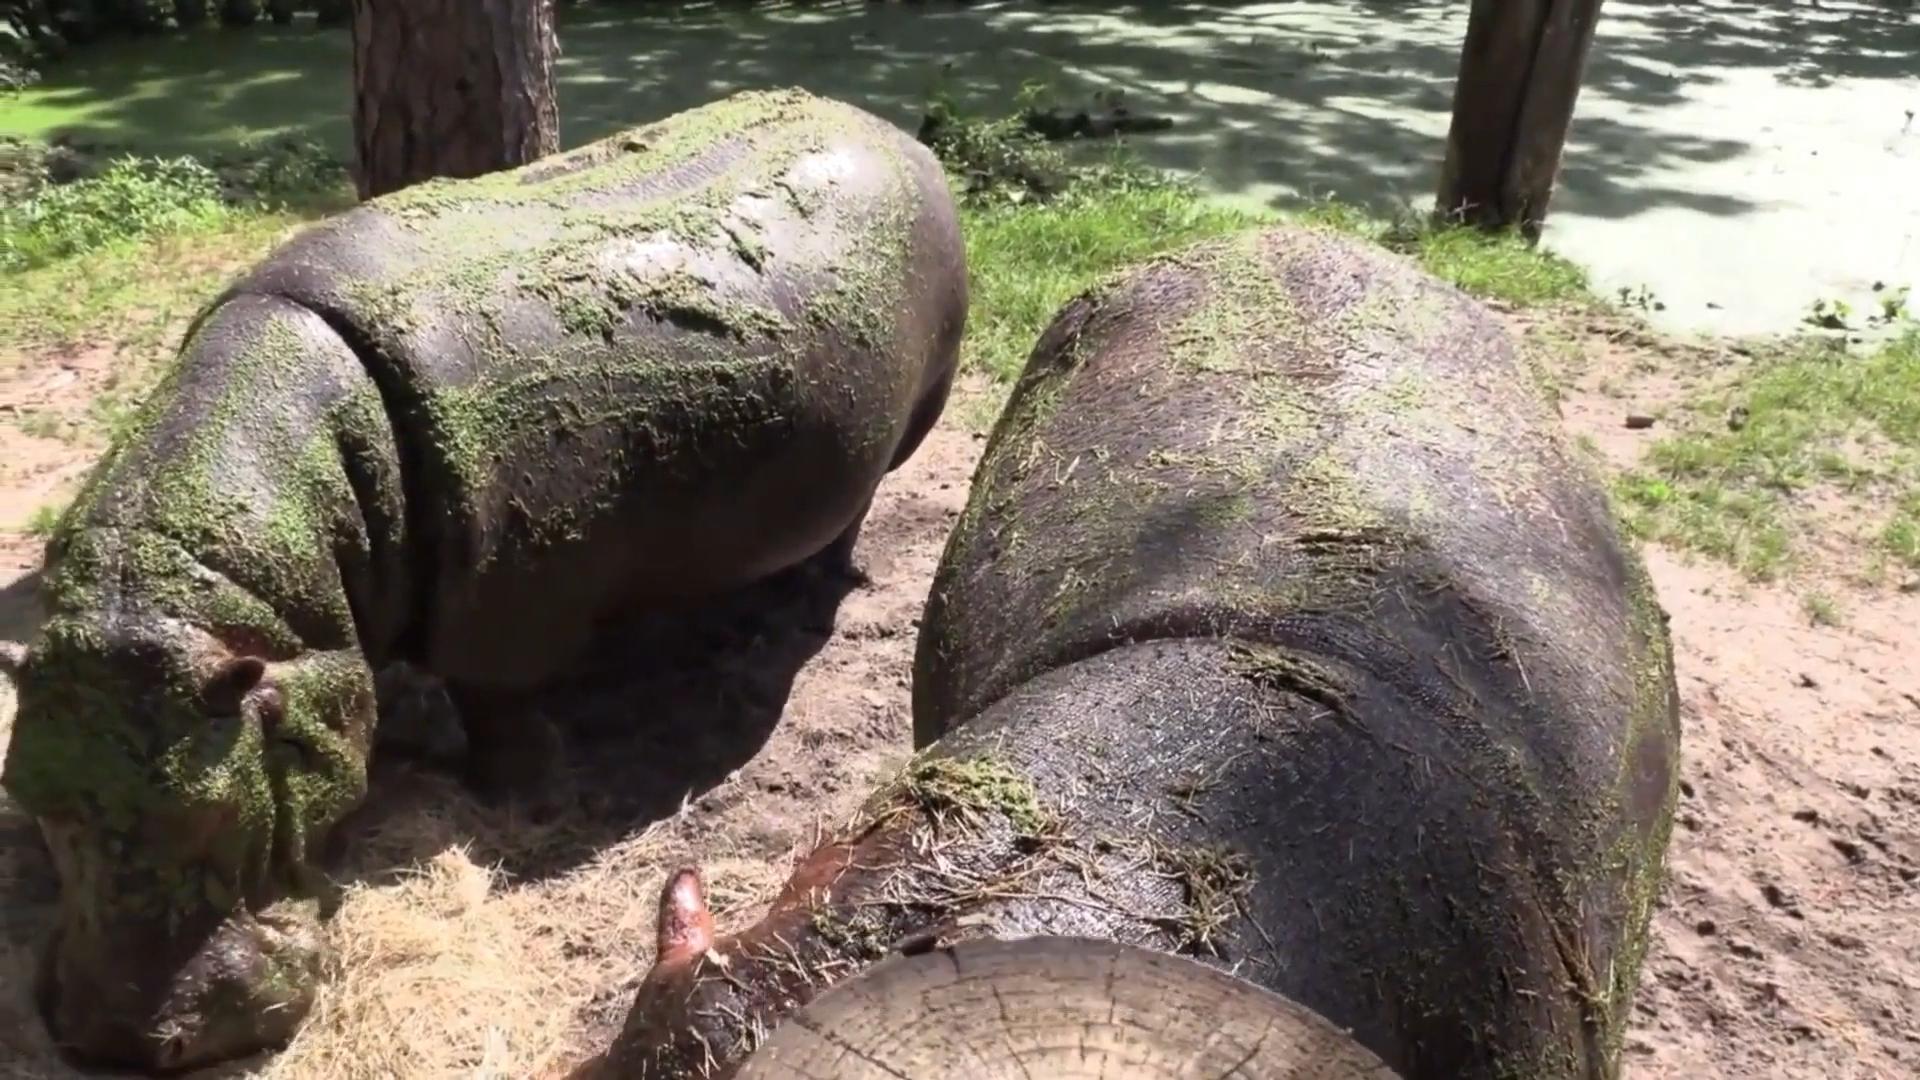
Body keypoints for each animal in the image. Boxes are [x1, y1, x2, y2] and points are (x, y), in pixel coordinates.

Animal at [0, 87, 966, 1071]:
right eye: (27, 789)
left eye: (214, 810)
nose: (118, 1039)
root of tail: (887, 128)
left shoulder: (504, 618)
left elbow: (496, 708)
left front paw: (512, 793)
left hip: (910, 423)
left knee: (844, 531)